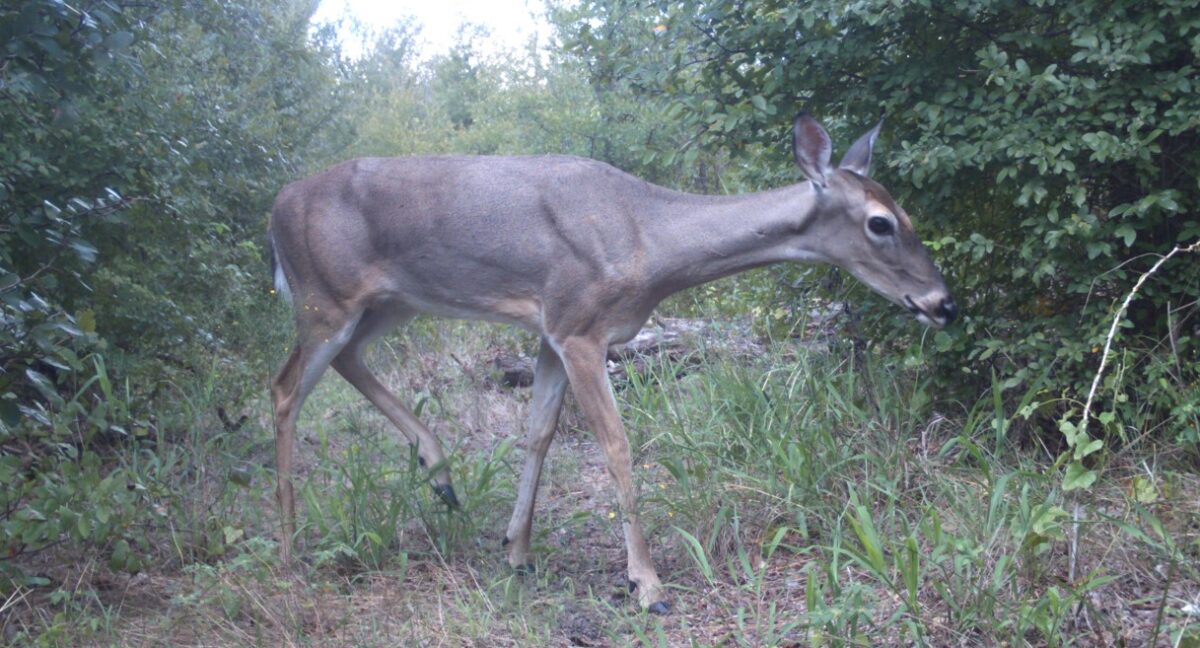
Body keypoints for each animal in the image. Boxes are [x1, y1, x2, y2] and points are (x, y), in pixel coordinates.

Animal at [268, 113, 956, 614]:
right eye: (881, 223)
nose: (943, 304)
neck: (648, 237)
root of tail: (276, 208)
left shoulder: (550, 329)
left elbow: (539, 433)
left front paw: (516, 551)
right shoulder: (579, 326)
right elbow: (618, 445)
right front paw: (647, 585)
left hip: (385, 303)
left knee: (345, 361)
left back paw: (439, 473)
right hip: (323, 297)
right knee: (283, 389)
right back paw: (290, 547)